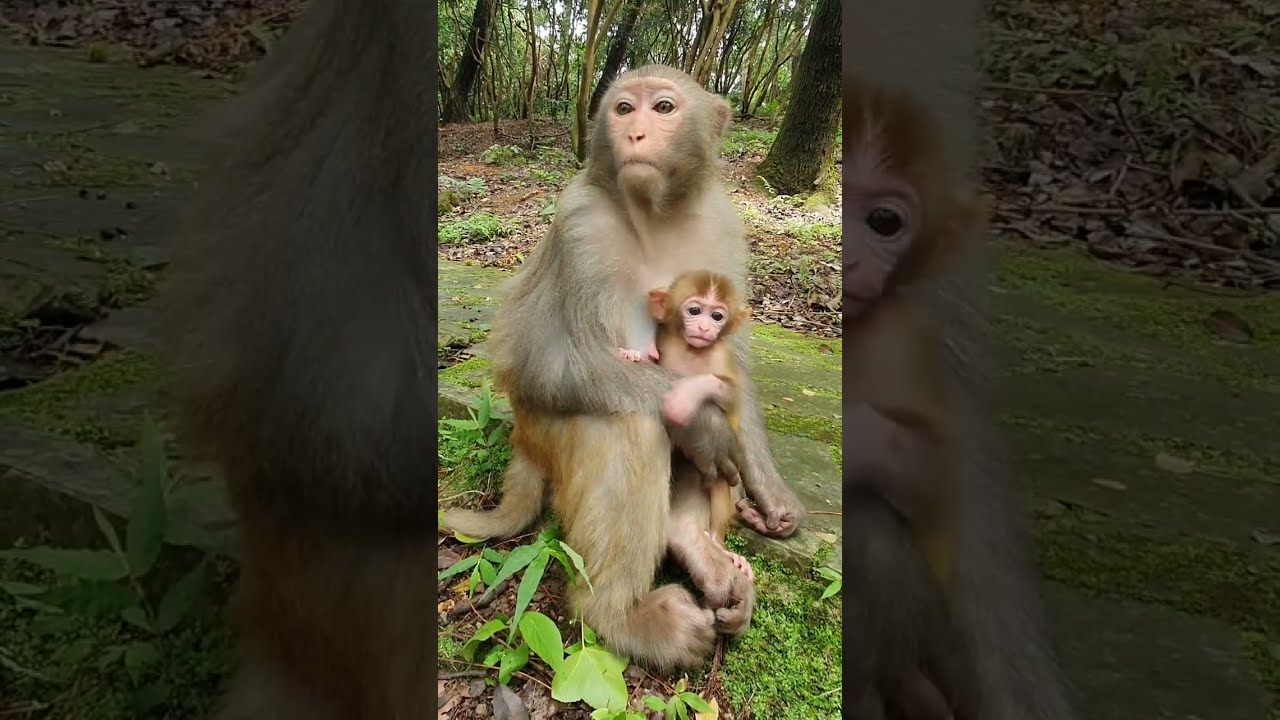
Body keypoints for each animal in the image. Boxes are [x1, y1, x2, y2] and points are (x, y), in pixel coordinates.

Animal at [441, 65, 807, 671]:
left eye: (663, 108)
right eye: (623, 108)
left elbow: (734, 368)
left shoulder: (722, 230)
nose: (634, 133)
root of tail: (522, 440)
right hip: (547, 433)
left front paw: (773, 495)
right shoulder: (579, 229)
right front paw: (706, 424)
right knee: (630, 422)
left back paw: (696, 547)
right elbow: (549, 362)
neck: (659, 216)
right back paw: (620, 616)